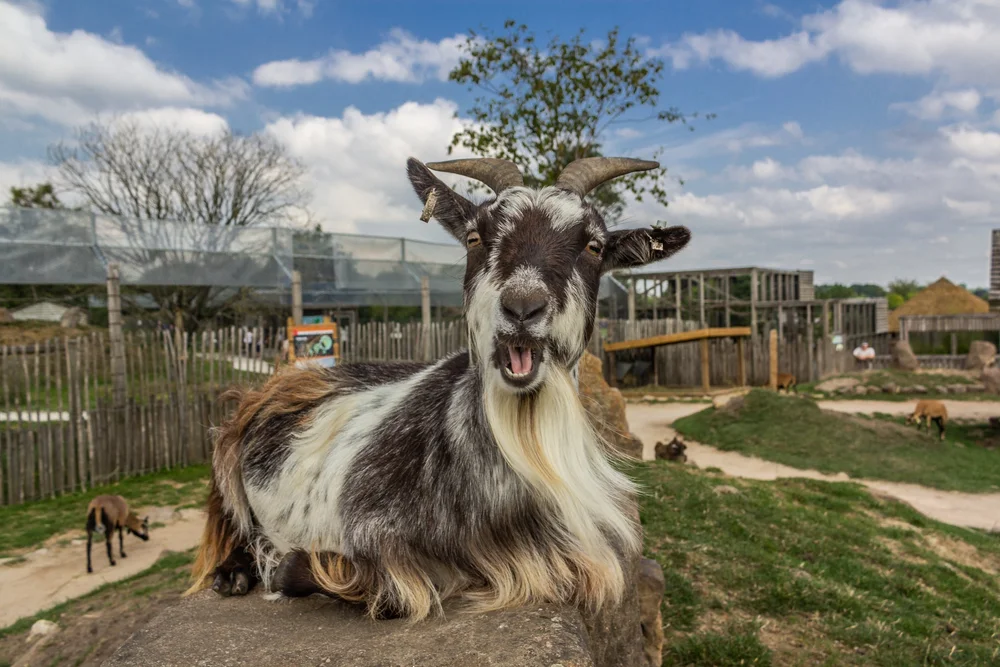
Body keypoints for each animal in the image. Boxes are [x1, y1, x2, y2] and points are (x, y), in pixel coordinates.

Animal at [185, 156, 691, 621]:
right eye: (474, 238)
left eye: (593, 245)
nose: (522, 307)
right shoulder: (371, 532)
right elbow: (356, 587)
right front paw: (276, 561)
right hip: (224, 457)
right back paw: (233, 573)